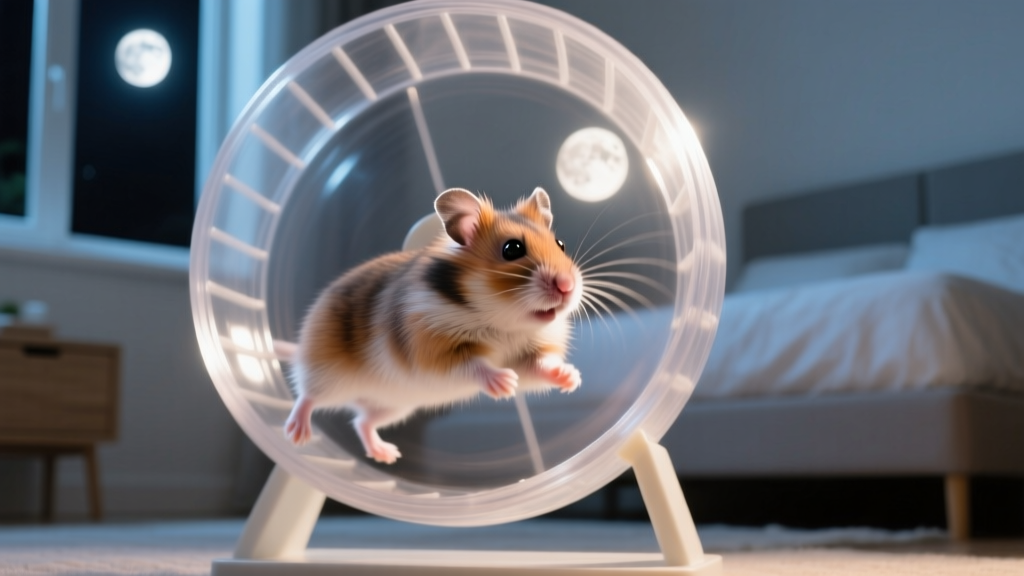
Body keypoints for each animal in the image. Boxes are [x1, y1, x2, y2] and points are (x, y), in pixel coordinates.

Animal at [284, 187, 583, 464]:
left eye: (560, 244)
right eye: (512, 249)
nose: (567, 286)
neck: (504, 324)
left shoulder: (529, 354)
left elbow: (540, 366)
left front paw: (571, 378)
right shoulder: (433, 351)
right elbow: (473, 366)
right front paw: (505, 383)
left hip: (394, 406)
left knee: (361, 422)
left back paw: (387, 454)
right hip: (327, 374)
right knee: (306, 396)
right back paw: (297, 435)